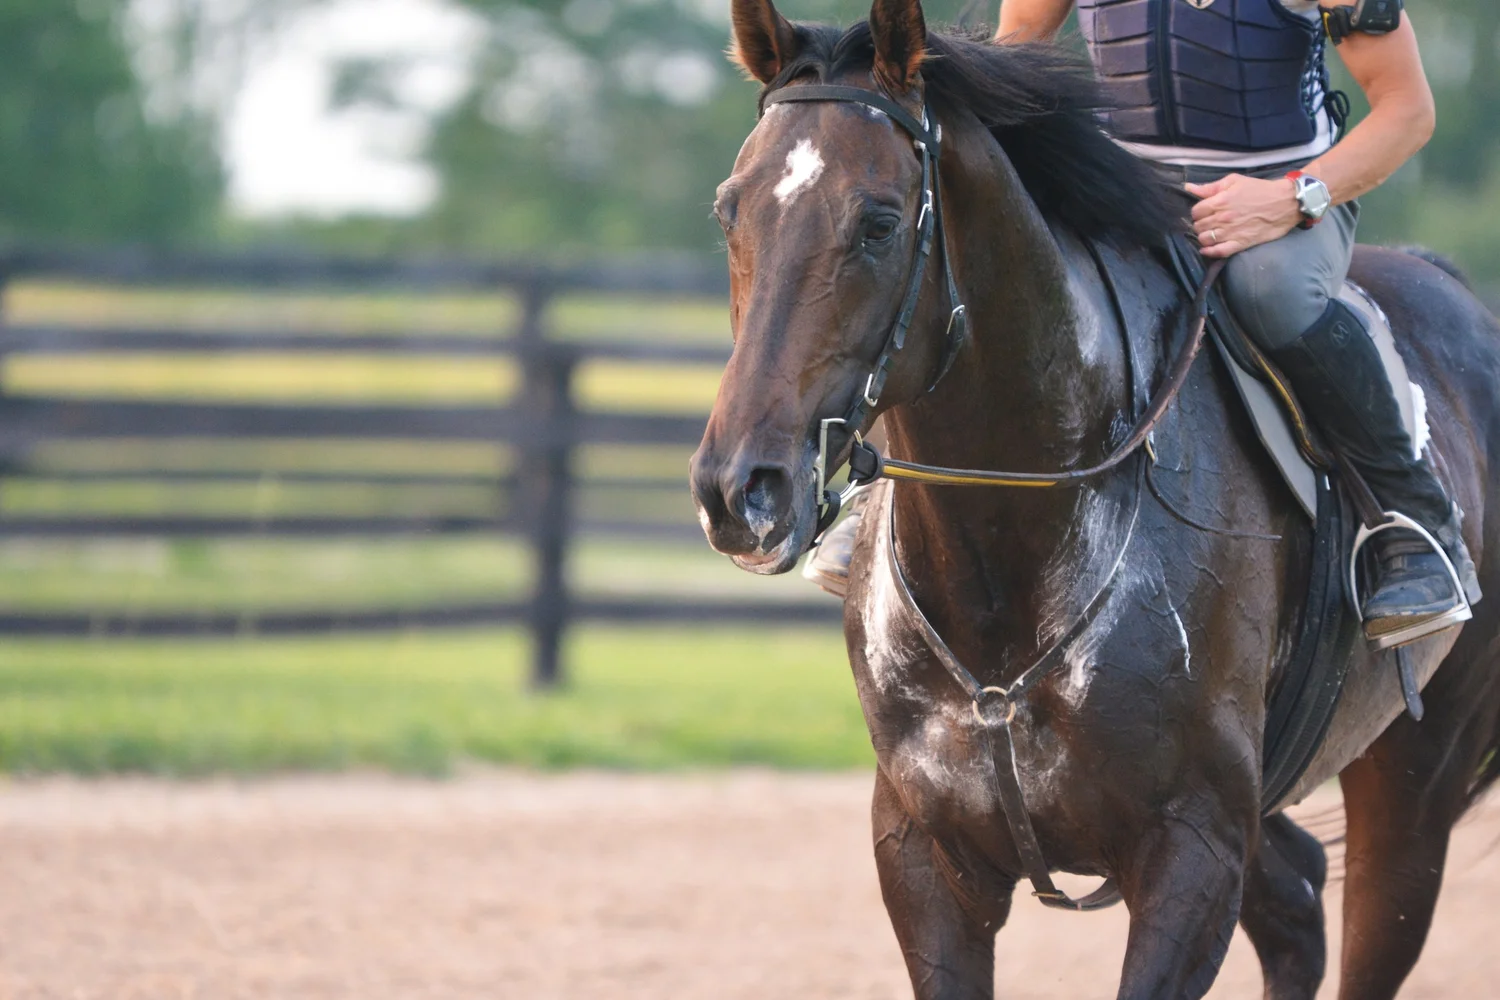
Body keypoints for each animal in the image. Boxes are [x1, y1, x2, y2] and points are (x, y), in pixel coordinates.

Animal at [688, 1, 1500, 996]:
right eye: (731, 210)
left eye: (878, 223)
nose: (740, 489)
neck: (1011, 559)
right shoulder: (927, 858)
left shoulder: (1192, 851)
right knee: (1300, 901)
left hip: (1412, 789)